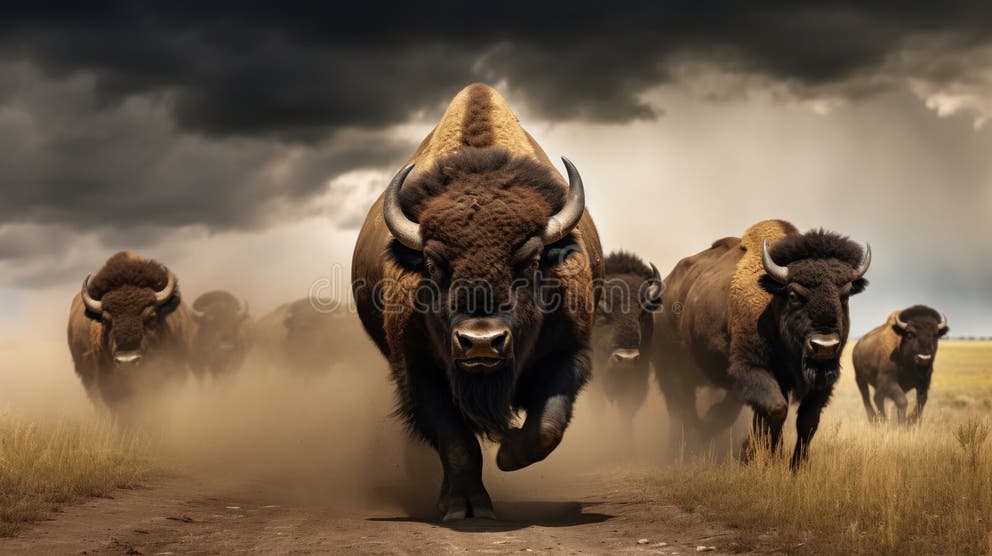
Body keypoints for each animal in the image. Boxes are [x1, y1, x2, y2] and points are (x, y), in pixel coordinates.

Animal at [352, 83, 603, 520]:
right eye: (434, 263)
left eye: (532, 259)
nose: (481, 342)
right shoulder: (419, 371)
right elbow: (457, 443)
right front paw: (465, 507)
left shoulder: (567, 354)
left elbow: (547, 426)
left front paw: (508, 453)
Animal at [653, 220, 870, 468]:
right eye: (793, 294)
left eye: (845, 294)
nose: (824, 346)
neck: (773, 303)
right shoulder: (751, 369)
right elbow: (776, 410)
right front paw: (764, 455)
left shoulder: (818, 383)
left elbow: (807, 421)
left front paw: (796, 466)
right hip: (672, 370)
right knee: (681, 408)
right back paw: (680, 451)